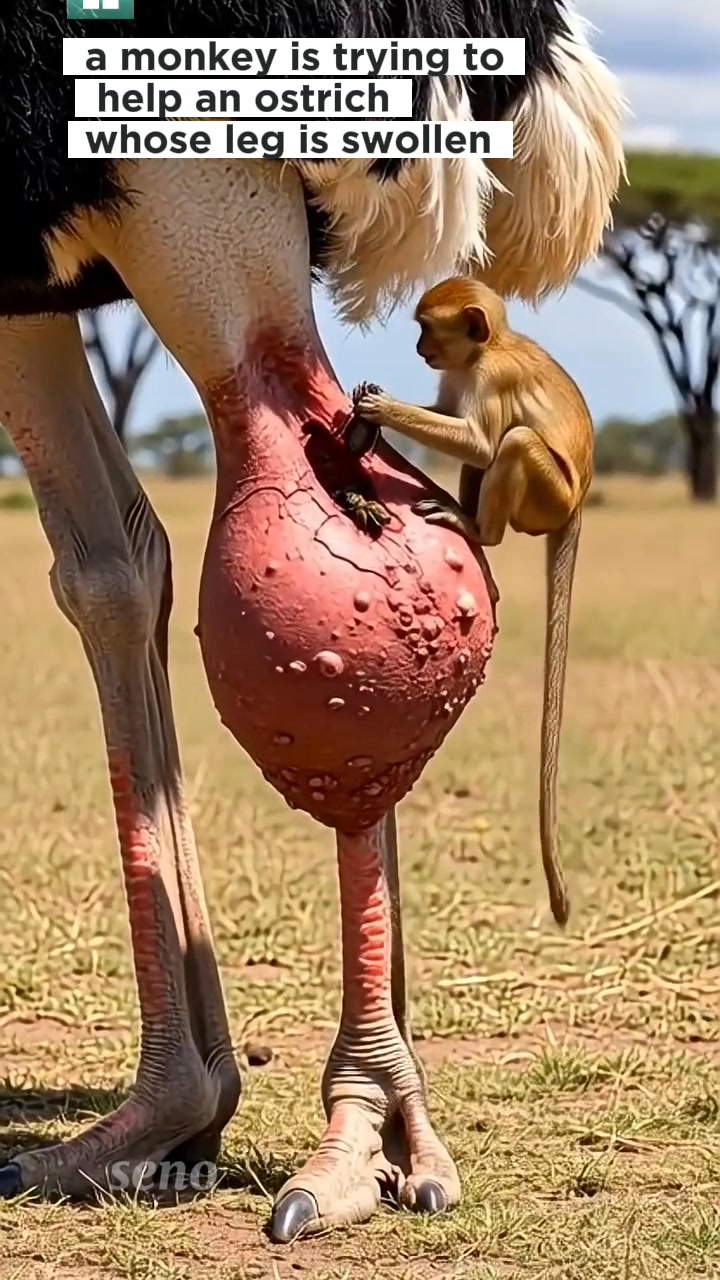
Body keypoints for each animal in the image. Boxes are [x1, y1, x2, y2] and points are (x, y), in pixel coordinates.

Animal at [345, 278, 594, 928]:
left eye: (426, 327)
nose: (417, 347)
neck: (488, 349)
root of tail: (578, 503)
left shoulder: (491, 377)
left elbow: (482, 443)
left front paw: (381, 410)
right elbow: (452, 421)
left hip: (546, 497)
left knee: (514, 443)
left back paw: (478, 530)